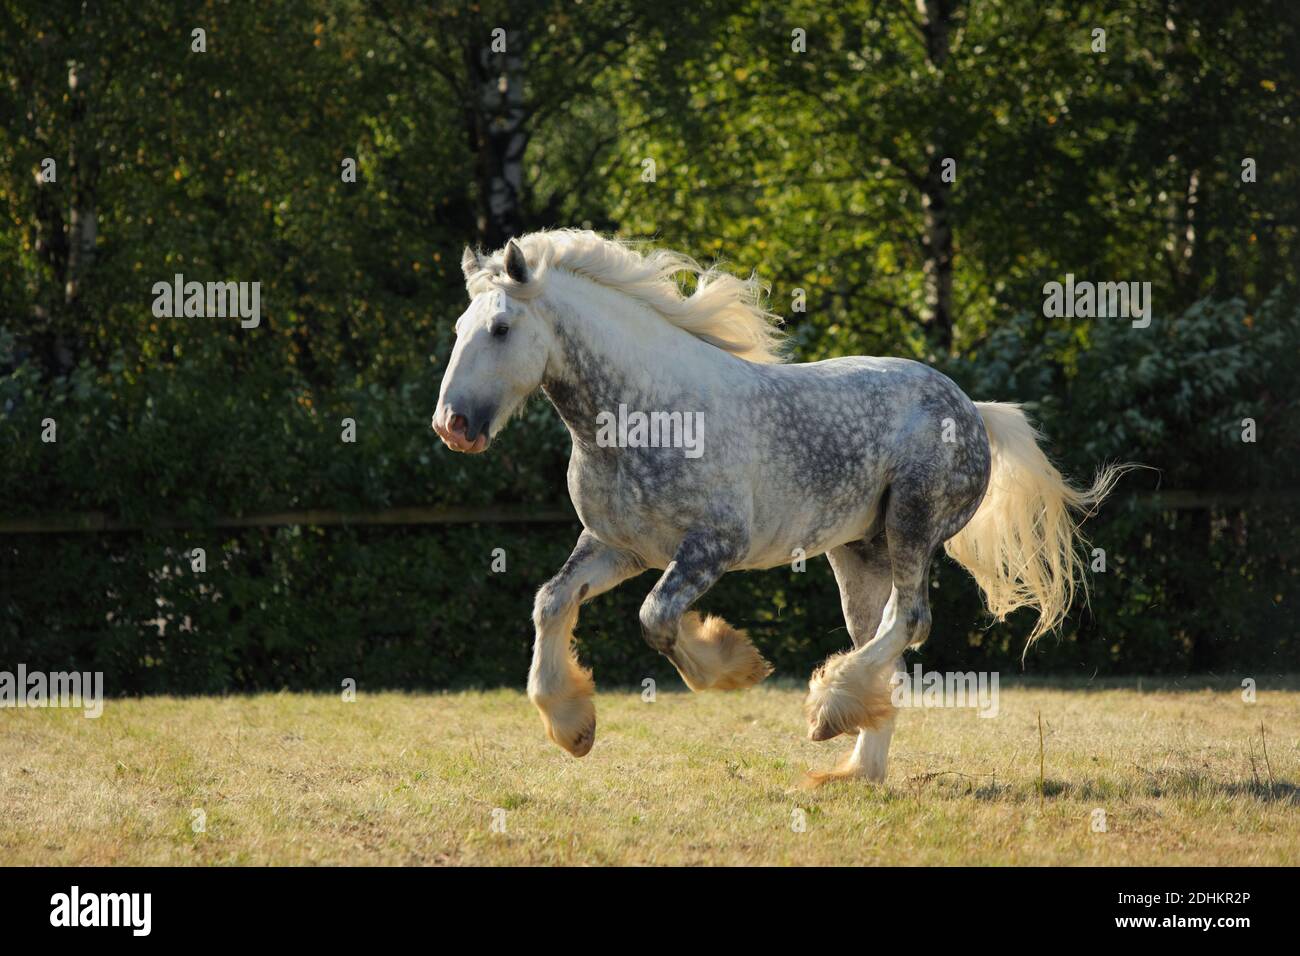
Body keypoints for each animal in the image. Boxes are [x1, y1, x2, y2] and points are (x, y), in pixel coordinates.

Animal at [432, 230, 1124, 784]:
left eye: (499, 329)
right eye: (459, 329)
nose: (452, 426)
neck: (644, 412)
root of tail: (972, 409)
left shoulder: (711, 547)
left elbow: (655, 618)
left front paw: (736, 667)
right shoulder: (619, 547)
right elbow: (551, 602)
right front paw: (573, 727)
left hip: (912, 525)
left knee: (910, 622)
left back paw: (827, 715)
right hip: (859, 551)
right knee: (886, 640)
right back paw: (856, 769)